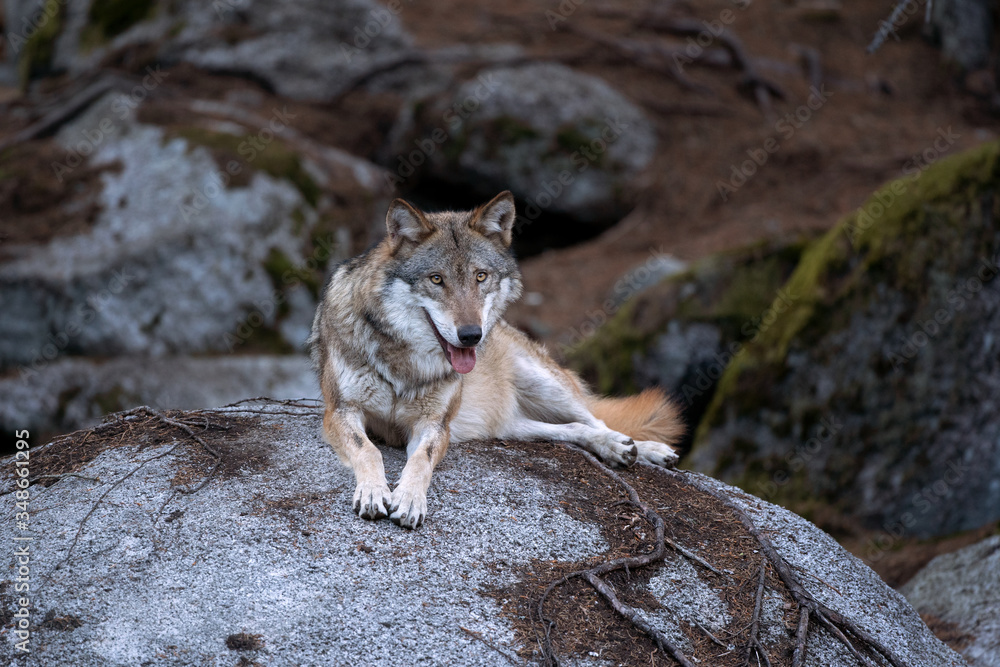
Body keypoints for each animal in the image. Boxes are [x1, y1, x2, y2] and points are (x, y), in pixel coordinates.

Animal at [308, 191, 683, 528]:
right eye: (436, 279)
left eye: (480, 276)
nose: (471, 335)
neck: (405, 362)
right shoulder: (341, 411)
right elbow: (368, 449)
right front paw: (373, 491)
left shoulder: (435, 425)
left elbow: (421, 461)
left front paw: (410, 499)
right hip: (512, 425)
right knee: (574, 429)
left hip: (545, 386)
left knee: (598, 420)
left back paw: (637, 448)